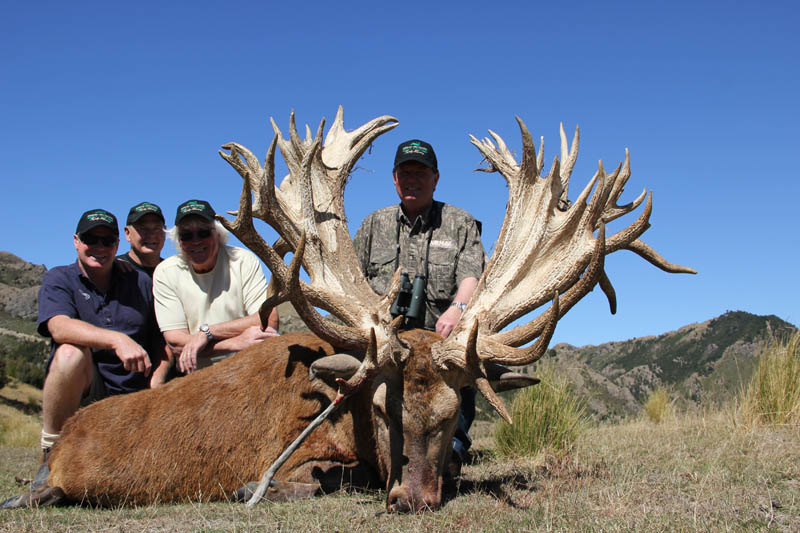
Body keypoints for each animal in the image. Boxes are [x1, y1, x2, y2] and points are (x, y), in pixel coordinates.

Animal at [1, 108, 694, 513]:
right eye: (383, 408)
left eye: (453, 415)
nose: (411, 497)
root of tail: (59, 450)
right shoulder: (293, 453)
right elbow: (312, 476)